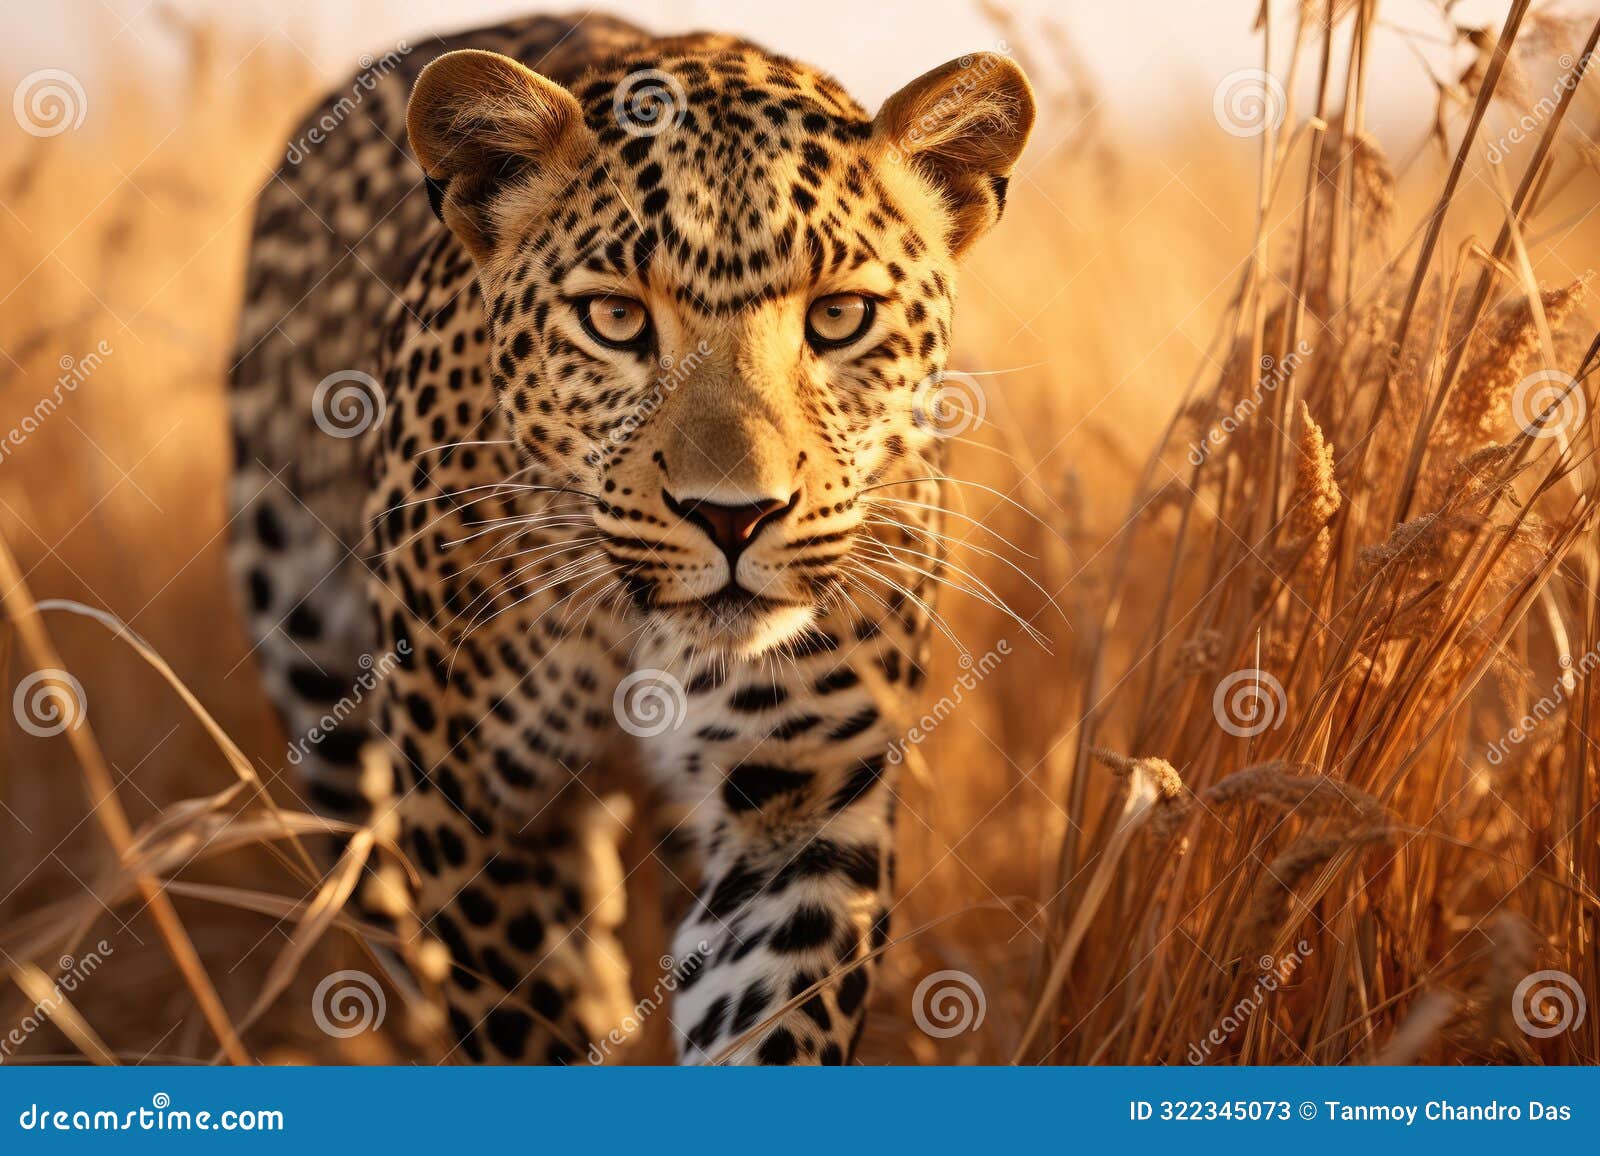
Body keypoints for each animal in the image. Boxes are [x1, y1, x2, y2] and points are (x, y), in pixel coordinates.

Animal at [228, 11, 1033, 1065]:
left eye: (839, 316)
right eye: (614, 318)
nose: (734, 515)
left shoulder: (801, 802)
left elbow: (769, 1019)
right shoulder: (472, 812)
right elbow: (526, 1023)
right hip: (316, 685)